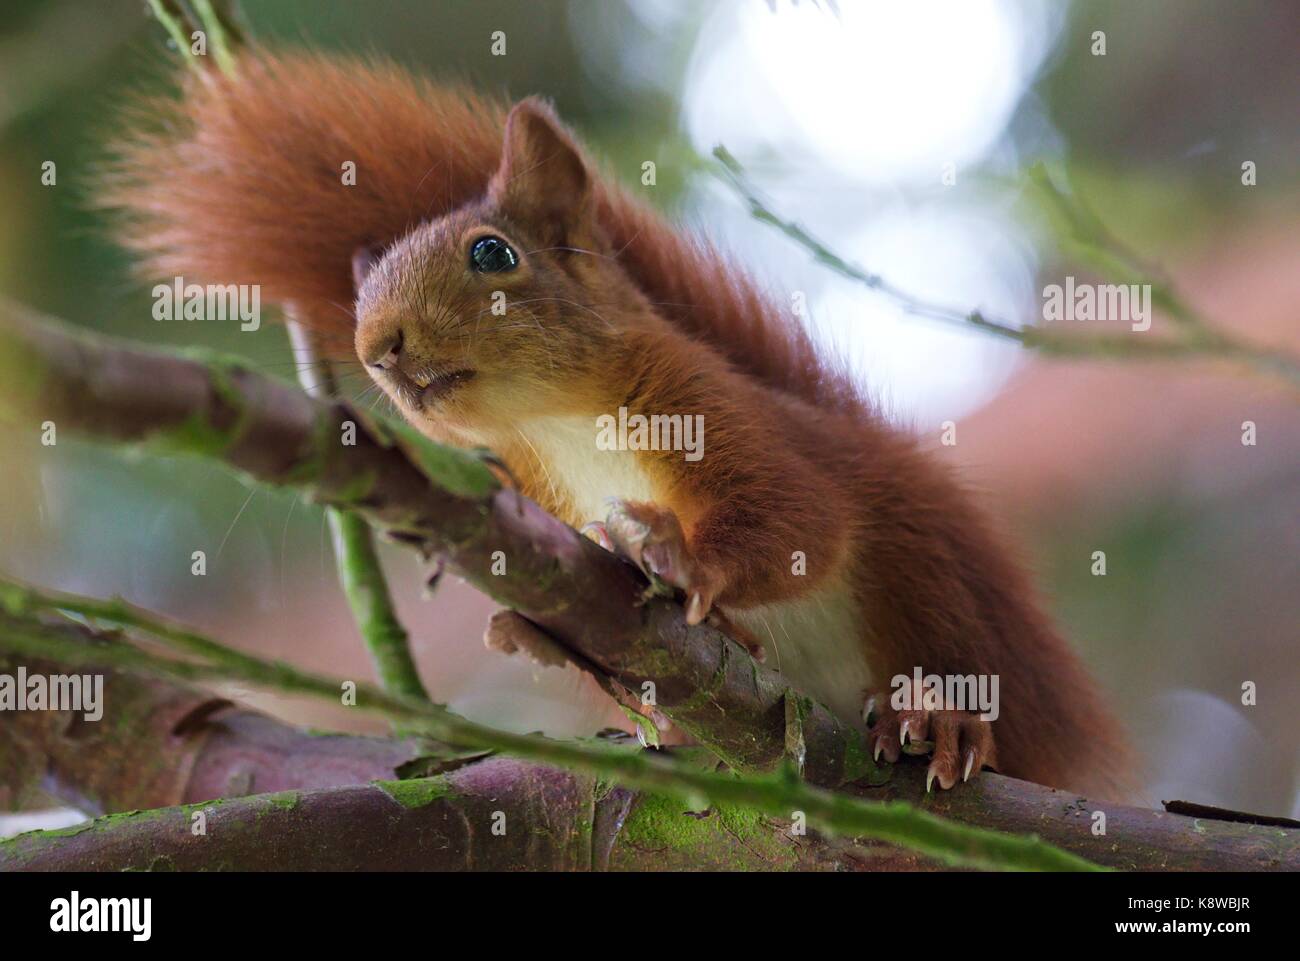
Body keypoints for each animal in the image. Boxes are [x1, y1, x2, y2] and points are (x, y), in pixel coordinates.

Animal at [101, 50, 1128, 797]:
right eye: (363, 292)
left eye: (492, 254)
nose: (377, 345)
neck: (561, 424)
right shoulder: (542, 494)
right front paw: (540, 632)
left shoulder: (719, 409)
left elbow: (798, 518)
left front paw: (683, 554)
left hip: (933, 578)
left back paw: (942, 712)